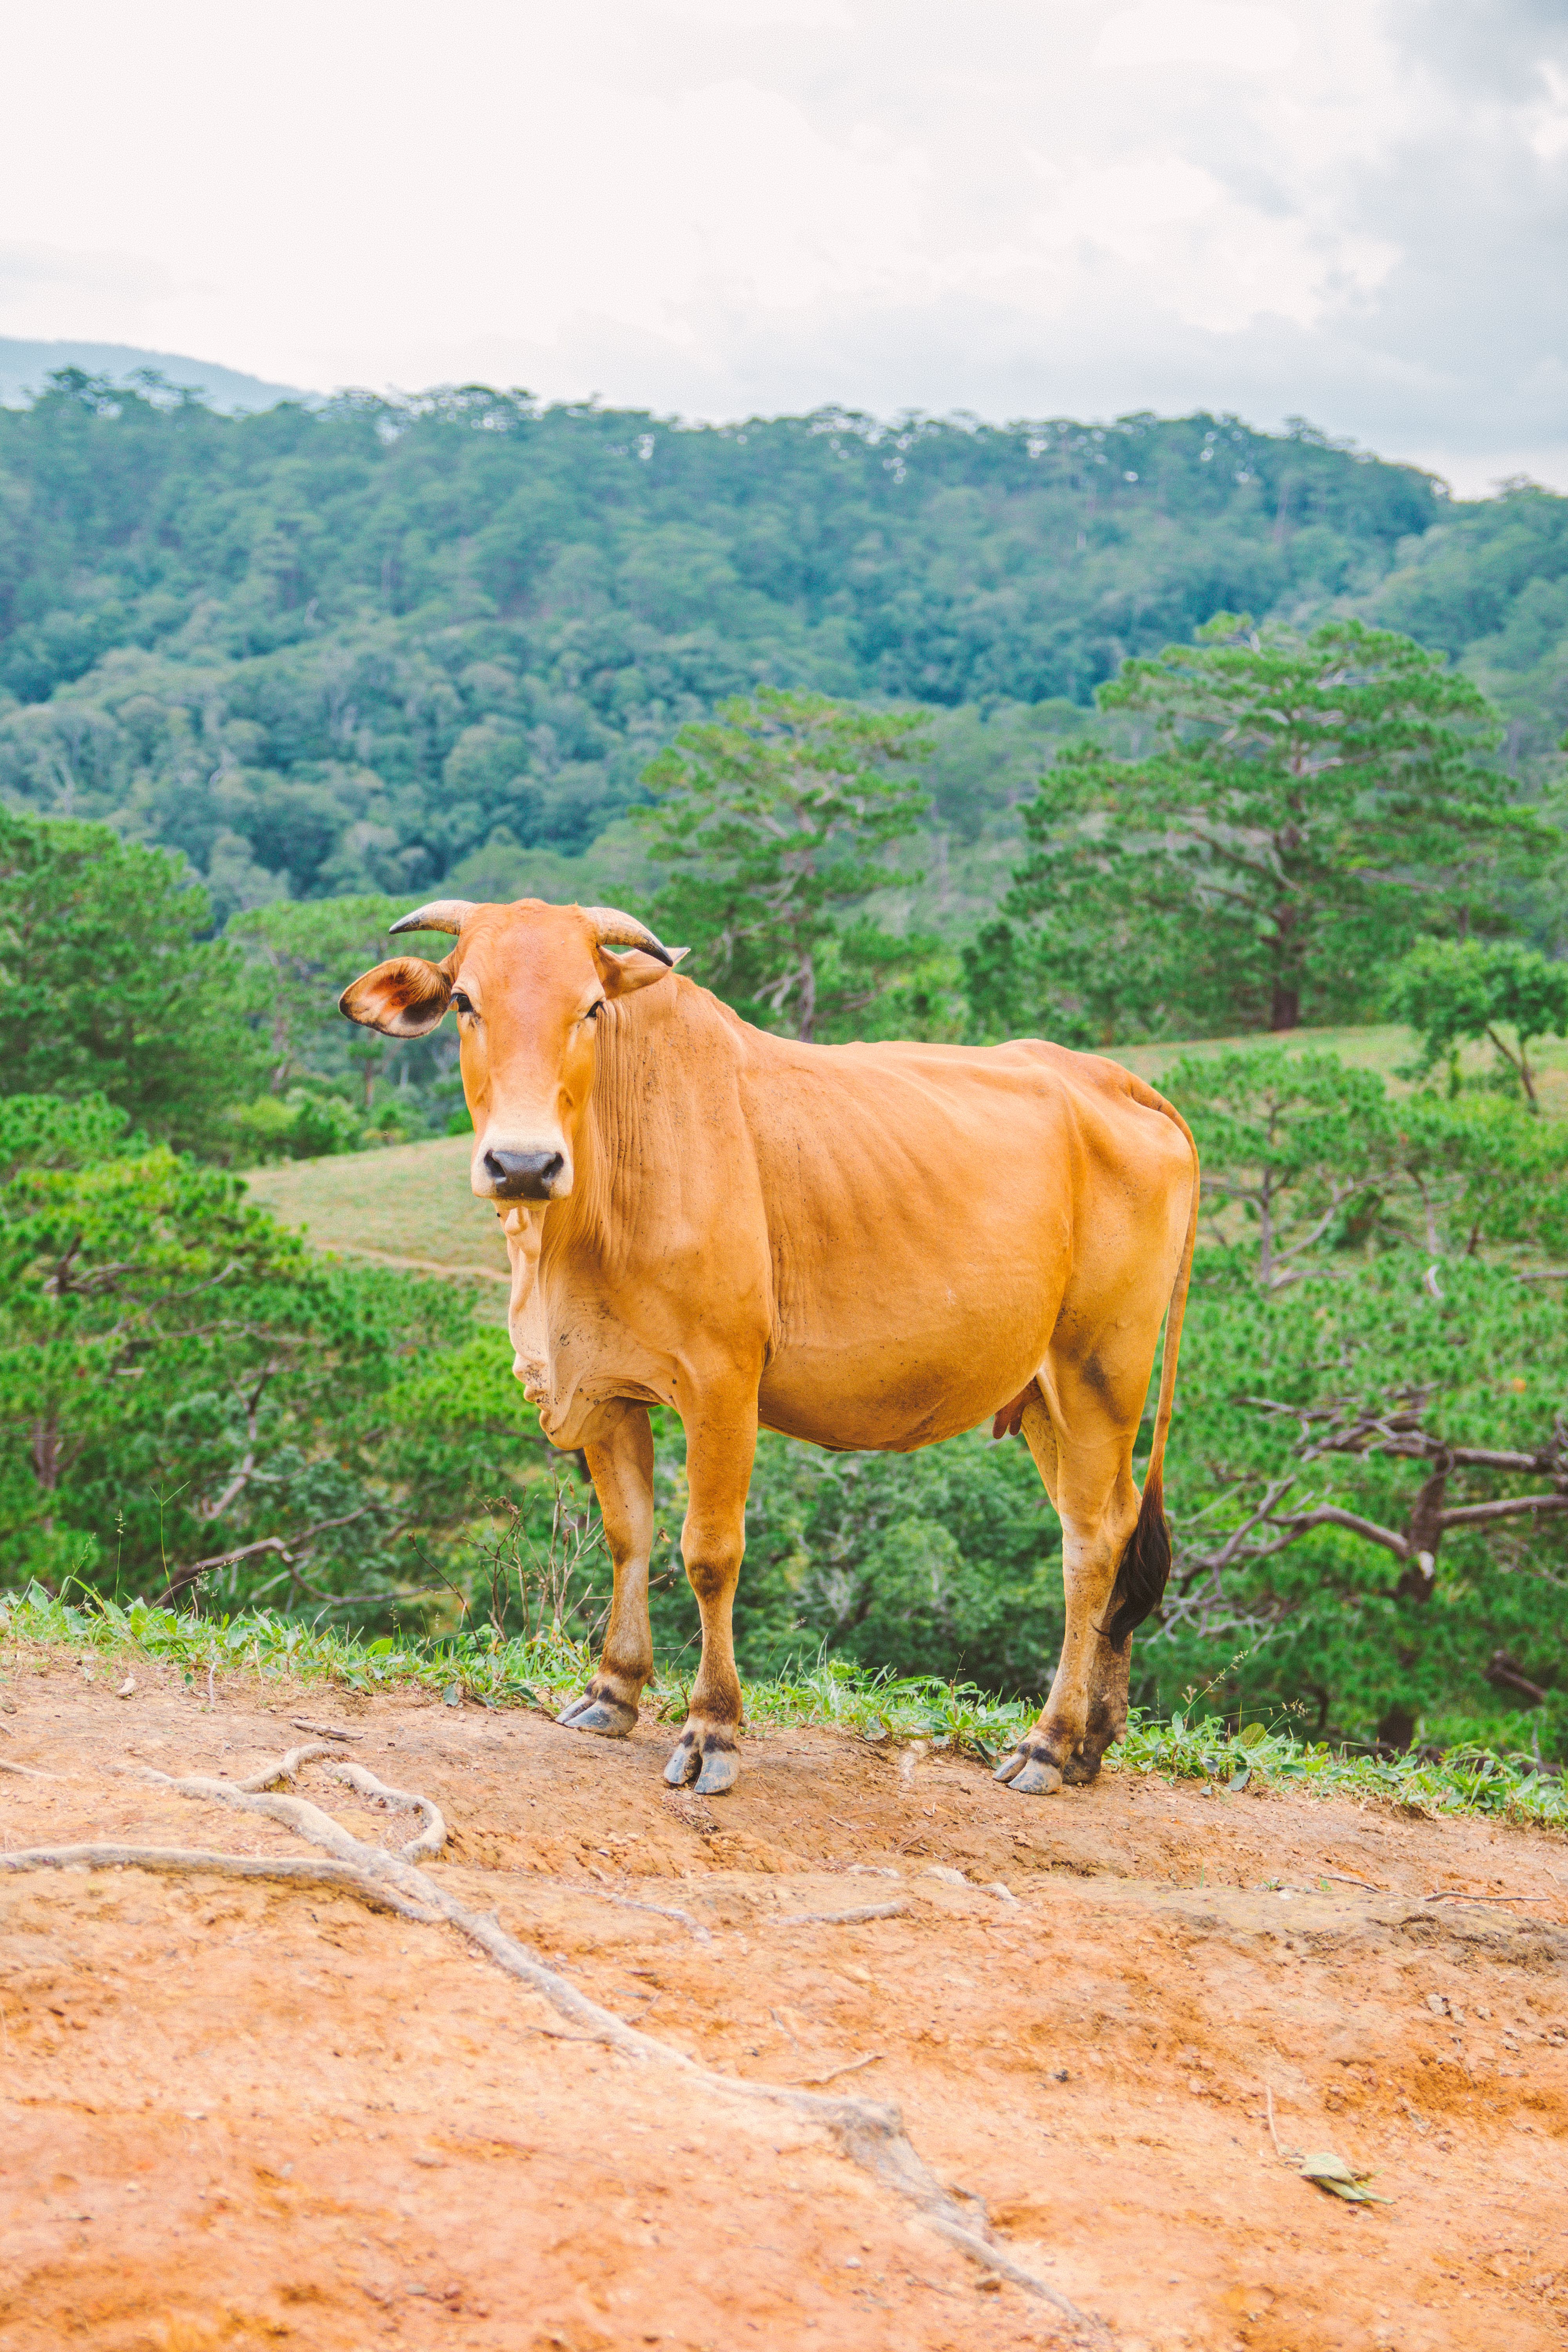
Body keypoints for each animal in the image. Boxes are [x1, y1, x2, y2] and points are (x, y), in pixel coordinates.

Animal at [341, 897, 1199, 1800]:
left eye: (592, 1007)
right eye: (465, 1002)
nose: (523, 1164)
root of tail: (1113, 1080)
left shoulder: (722, 1386)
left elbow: (708, 1554)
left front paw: (710, 1727)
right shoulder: (608, 1390)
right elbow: (629, 1536)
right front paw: (613, 1690)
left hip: (1100, 1374)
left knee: (1089, 1547)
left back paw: (1048, 1742)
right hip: (1044, 1399)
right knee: (1111, 1522)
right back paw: (1092, 1740)